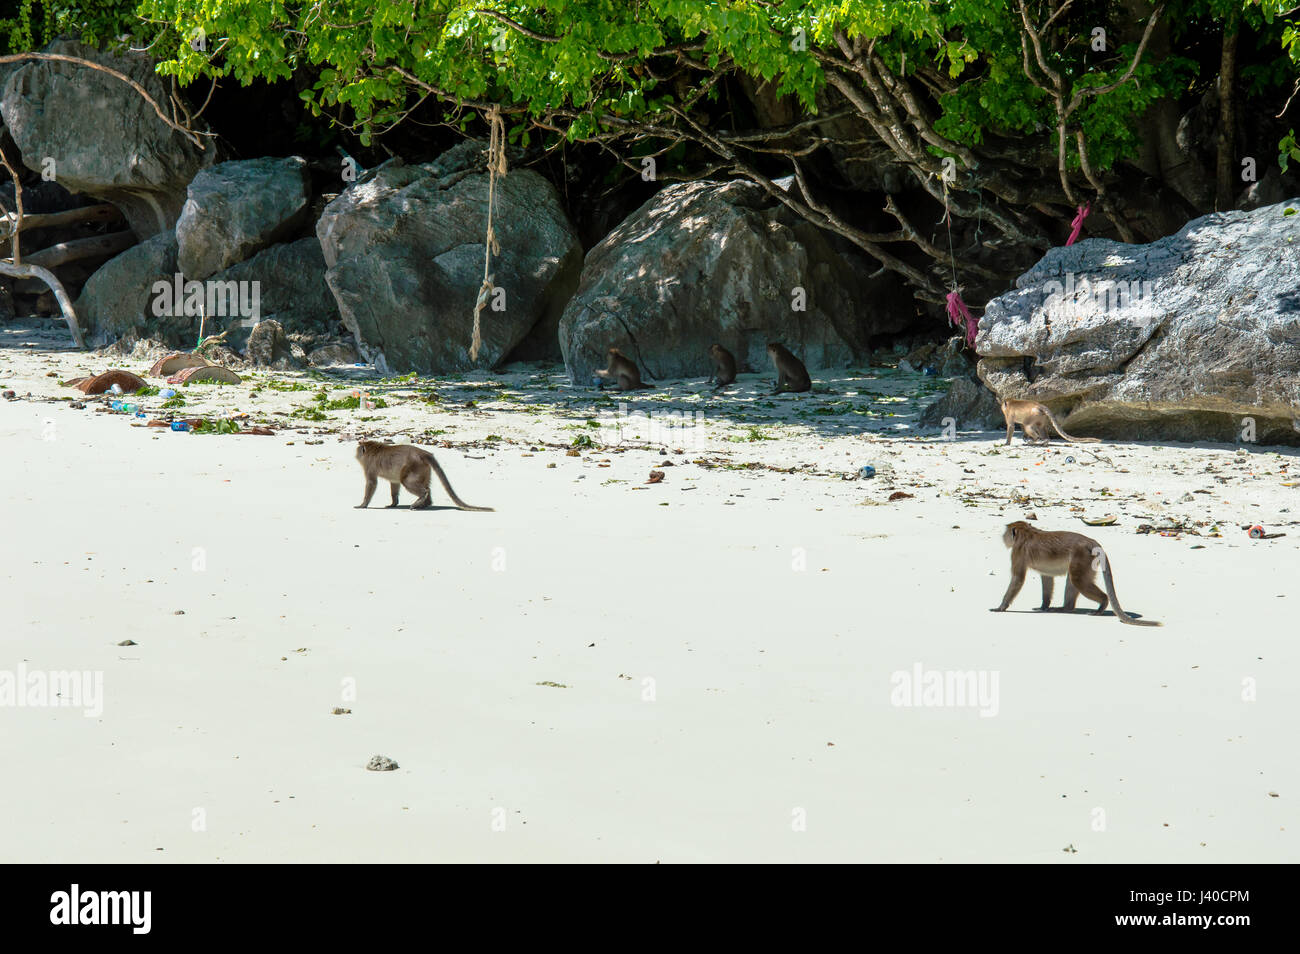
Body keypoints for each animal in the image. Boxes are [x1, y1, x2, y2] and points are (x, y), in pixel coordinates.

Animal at [355, 441, 494, 512]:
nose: (356, 454)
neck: (372, 449)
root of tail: (424, 453)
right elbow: (394, 483)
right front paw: (393, 503)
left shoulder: (369, 465)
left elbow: (372, 482)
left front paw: (363, 504)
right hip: (424, 468)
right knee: (423, 484)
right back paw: (426, 504)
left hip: (415, 466)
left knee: (408, 482)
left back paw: (421, 500)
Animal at [992, 521, 1160, 626]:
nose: (1002, 537)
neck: (1026, 532)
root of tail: (1093, 543)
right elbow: (1047, 578)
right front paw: (1043, 606)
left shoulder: (1018, 552)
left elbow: (1017, 578)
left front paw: (1001, 607)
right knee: (1073, 580)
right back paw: (1066, 608)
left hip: (1082, 556)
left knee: (1077, 579)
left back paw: (1102, 604)